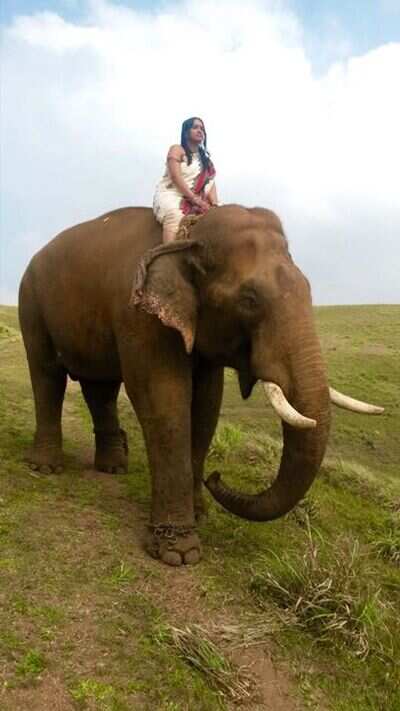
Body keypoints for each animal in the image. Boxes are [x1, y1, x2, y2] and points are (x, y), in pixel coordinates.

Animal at [19, 205, 383, 566]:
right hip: (31, 303)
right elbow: (163, 397)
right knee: (47, 374)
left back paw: (113, 469)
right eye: (249, 299)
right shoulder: (140, 315)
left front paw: (200, 514)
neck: (189, 236)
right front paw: (179, 553)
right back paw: (45, 467)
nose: (215, 478)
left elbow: (208, 403)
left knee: (101, 387)